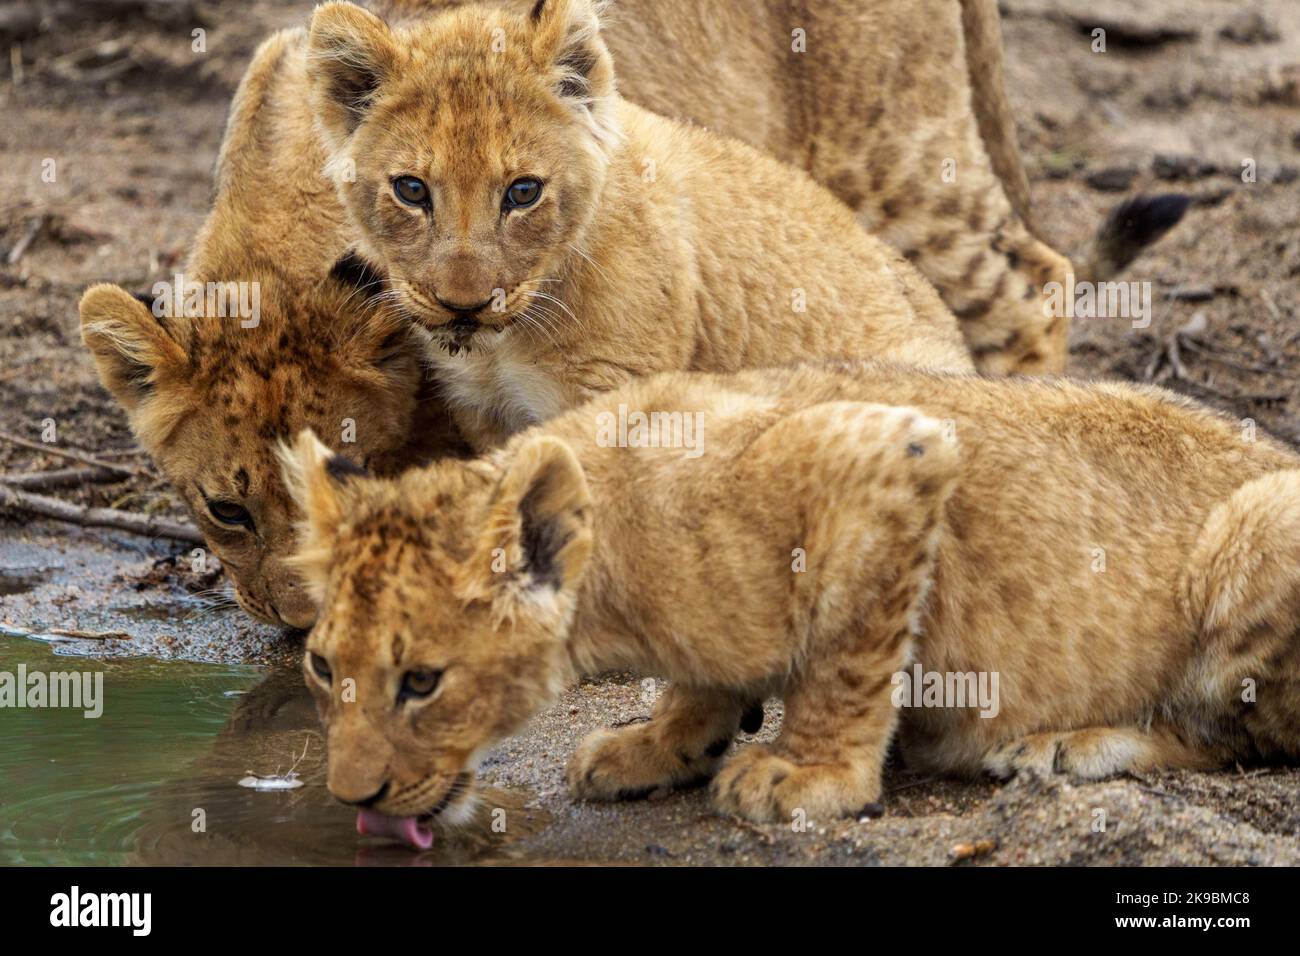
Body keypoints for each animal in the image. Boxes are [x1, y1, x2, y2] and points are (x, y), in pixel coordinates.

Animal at [283, 361, 1300, 835]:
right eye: (322, 665)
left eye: (422, 681)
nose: (349, 796)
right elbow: (703, 683)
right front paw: (662, 741)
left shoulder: (892, 454)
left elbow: (845, 656)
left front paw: (807, 775)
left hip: (1256, 530)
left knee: (1247, 739)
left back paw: (1068, 743)